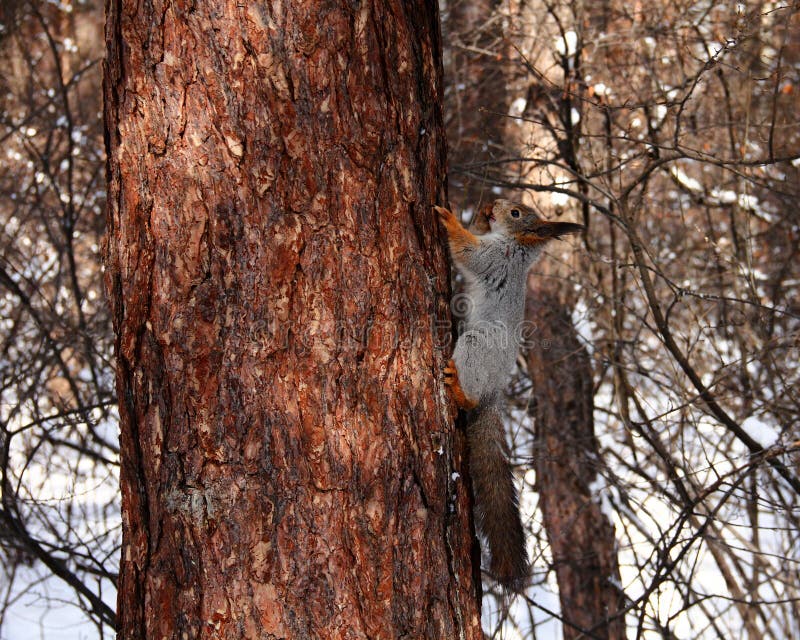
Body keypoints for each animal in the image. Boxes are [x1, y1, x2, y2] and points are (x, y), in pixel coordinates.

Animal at [434, 199, 583, 591]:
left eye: (516, 213)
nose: (493, 205)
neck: (516, 245)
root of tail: (492, 394)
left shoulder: (495, 258)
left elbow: (468, 253)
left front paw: (450, 219)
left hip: (475, 346)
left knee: (469, 394)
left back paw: (460, 390)